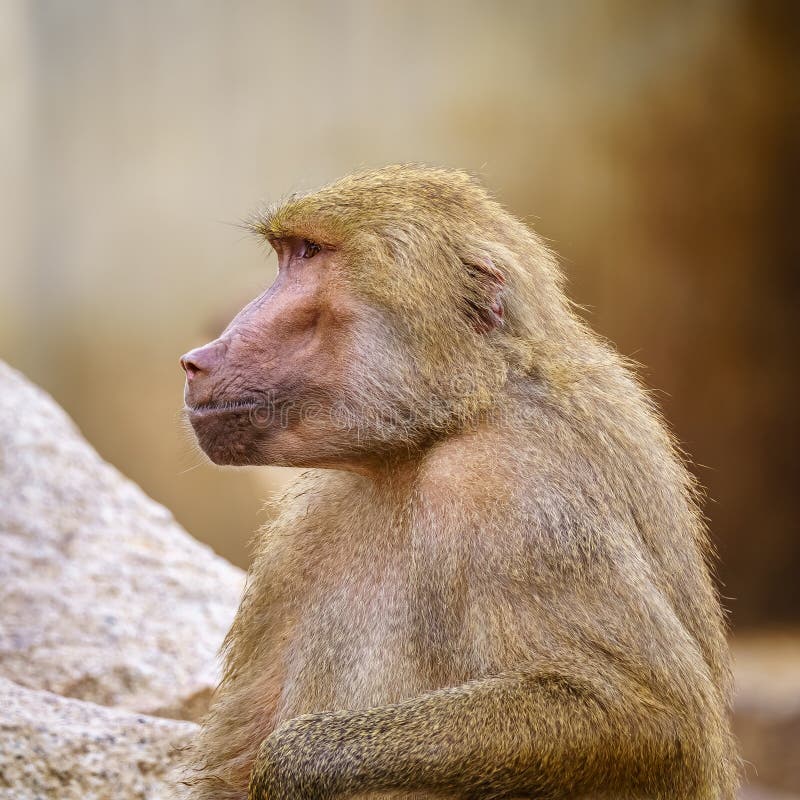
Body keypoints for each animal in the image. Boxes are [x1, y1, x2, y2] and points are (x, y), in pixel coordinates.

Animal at [179, 165, 738, 799]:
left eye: (310, 253)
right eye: (290, 254)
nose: (197, 359)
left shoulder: (514, 485)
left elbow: (647, 714)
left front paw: (292, 766)